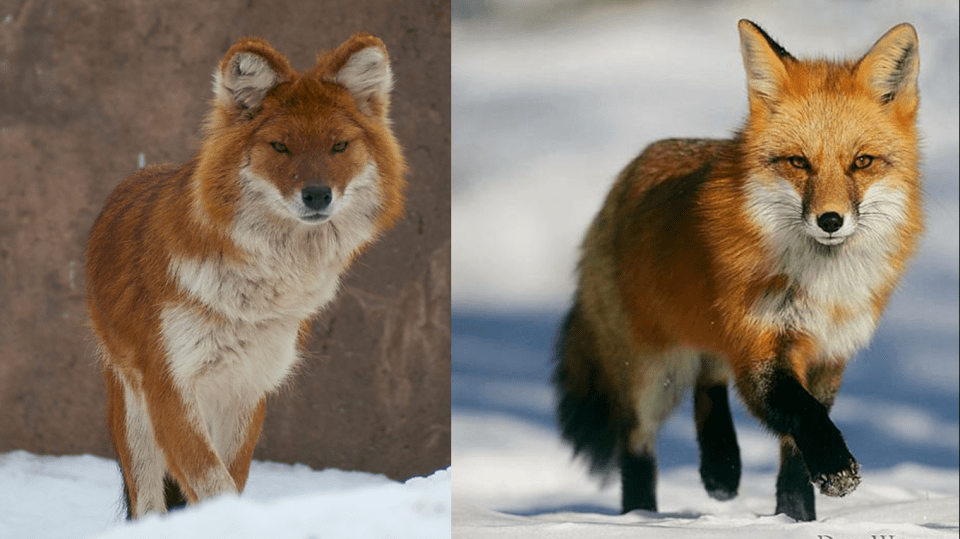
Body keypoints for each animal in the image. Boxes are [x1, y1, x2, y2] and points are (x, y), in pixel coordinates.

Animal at [85, 33, 406, 519]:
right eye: (279, 146)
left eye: (339, 146)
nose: (317, 194)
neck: (256, 293)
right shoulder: (169, 386)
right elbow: (210, 480)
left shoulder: (247, 388)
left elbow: (228, 478)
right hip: (132, 411)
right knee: (148, 501)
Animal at [553, 20, 921, 521]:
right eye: (798, 162)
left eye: (861, 162)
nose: (830, 220)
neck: (820, 284)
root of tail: (621, 180)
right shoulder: (761, 343)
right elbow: (803, 414)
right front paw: (835, 467)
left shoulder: (828, 354)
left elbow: (795, 448)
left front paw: (795, 517)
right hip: (653, 375)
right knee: (638, 444)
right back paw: (642, 516)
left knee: (708, 378)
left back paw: (721, 468)